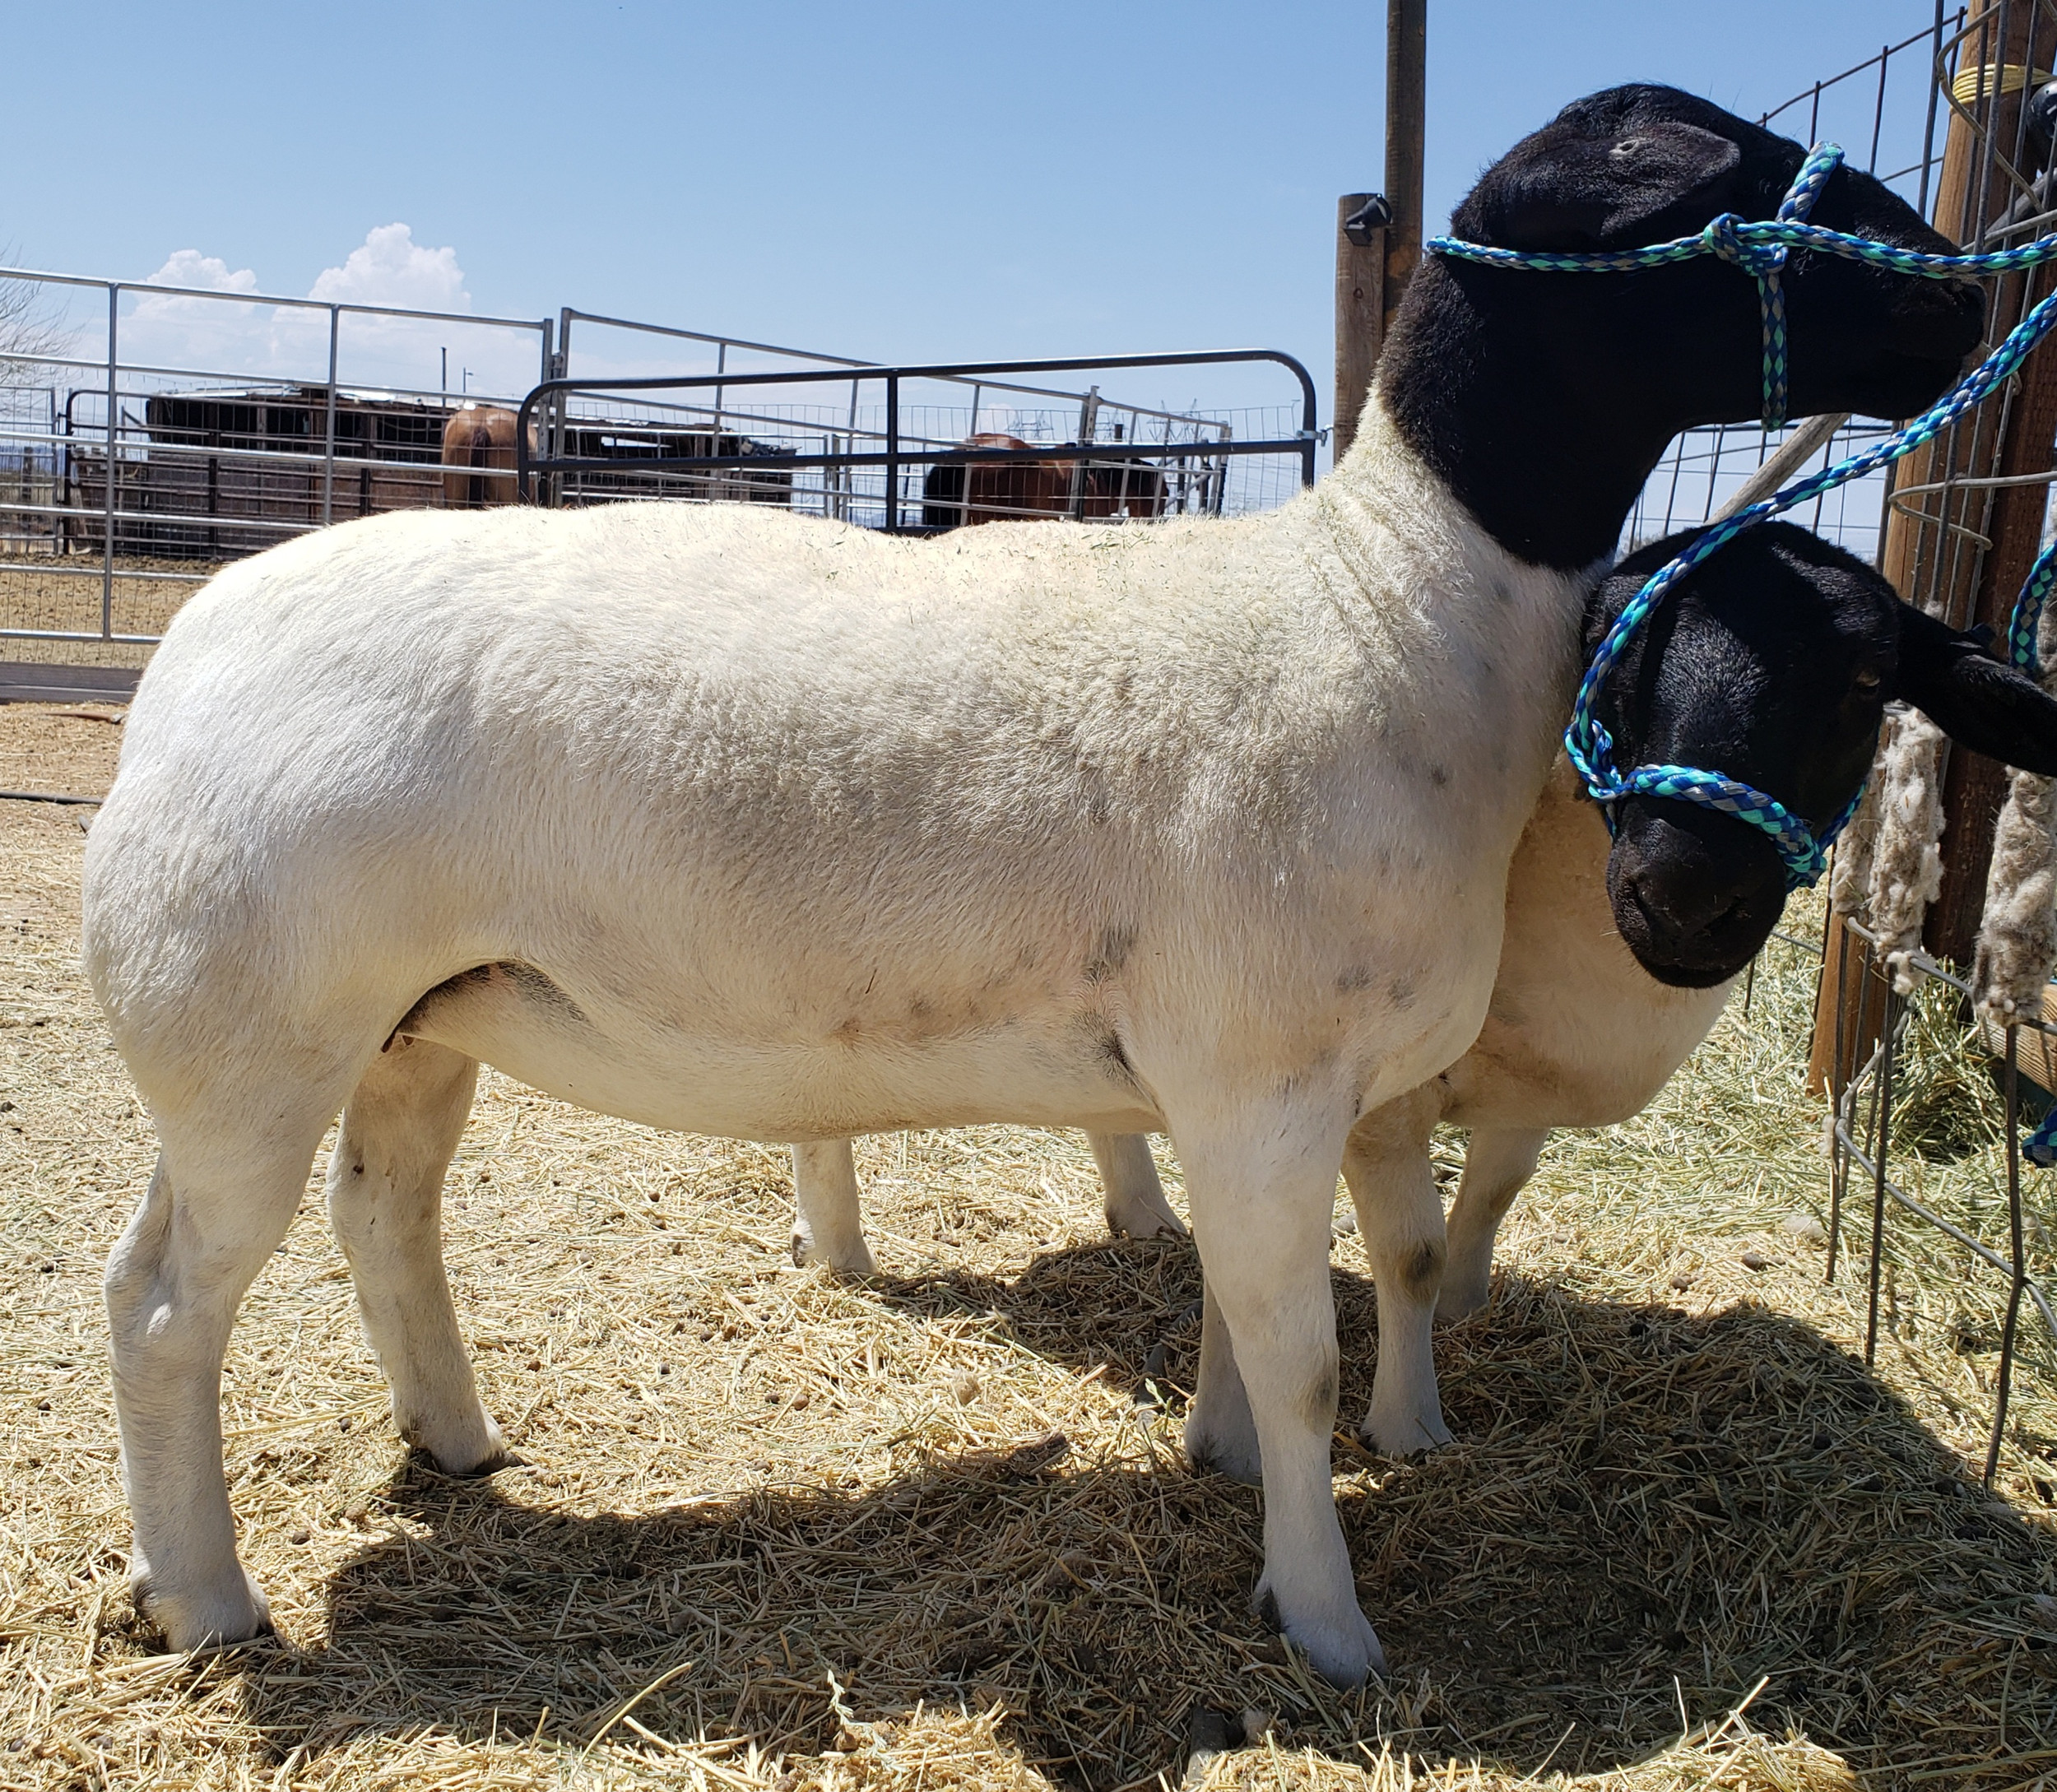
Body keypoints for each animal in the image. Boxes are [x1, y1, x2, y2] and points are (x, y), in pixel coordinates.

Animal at [81, 85, 1981, 1683]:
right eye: (1689, 185)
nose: (1962, 304)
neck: (1389, 606)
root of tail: (189, 655)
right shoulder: (1263, 1068)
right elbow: (1304, 1355)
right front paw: (1327, 1624)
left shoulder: (1249, 1094)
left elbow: (1246, 1318)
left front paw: (1221, 1464)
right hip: (247, 1030)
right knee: (165, 1304)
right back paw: (209, 1600)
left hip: (414, 1017)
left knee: (381, 1212)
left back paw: (457, 1441)